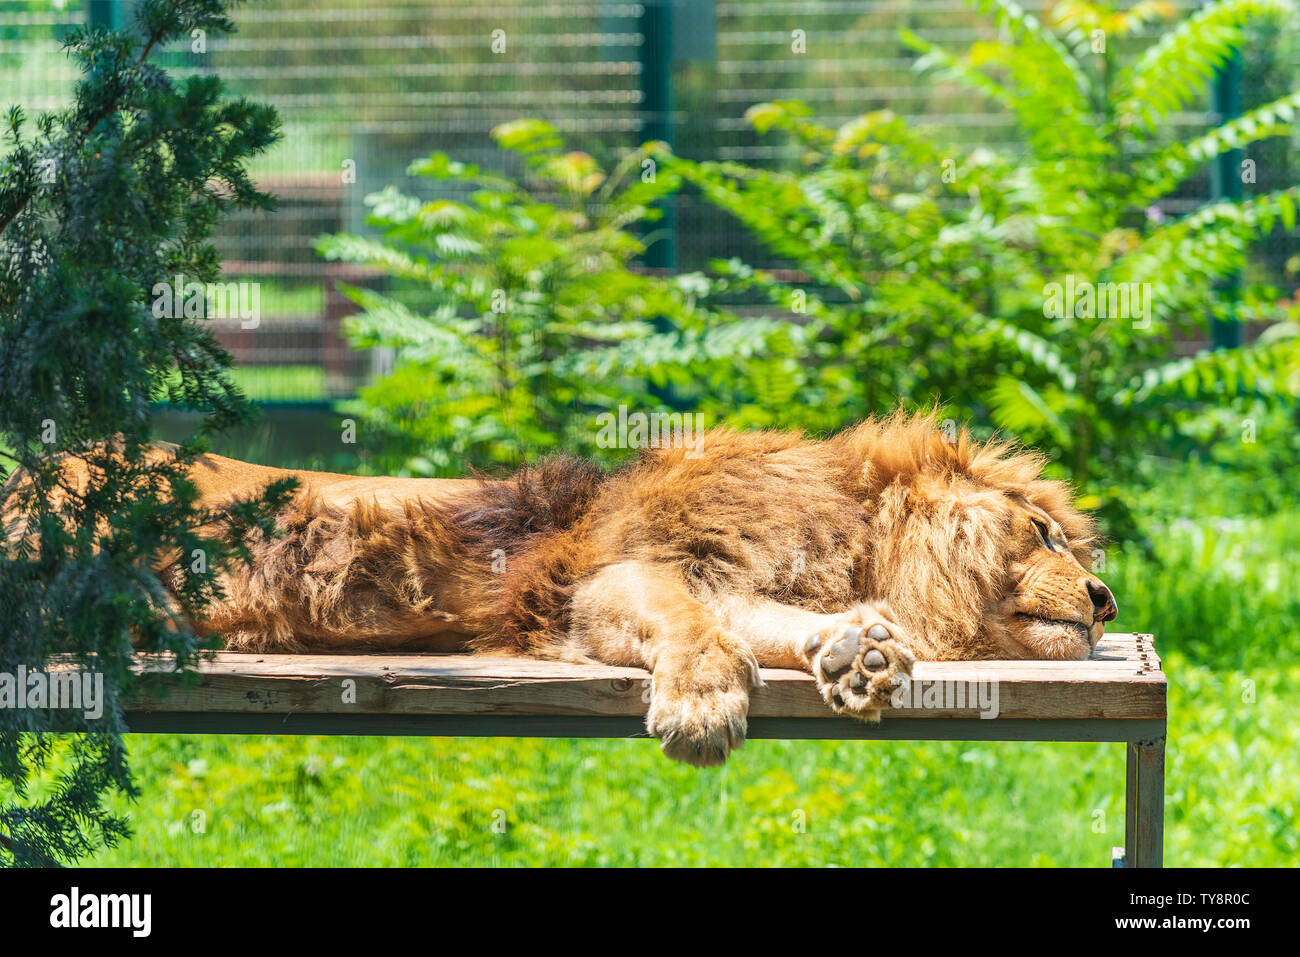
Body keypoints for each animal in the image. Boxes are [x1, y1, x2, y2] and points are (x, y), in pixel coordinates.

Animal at [5, 411, 1117, 766]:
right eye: (1046, 533)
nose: (1107, 600)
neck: (854, 539)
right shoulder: (620, 577)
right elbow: (694, 631)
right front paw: (702, 709)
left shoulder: (734, 578)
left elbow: (772, 624)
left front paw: (857, 649)